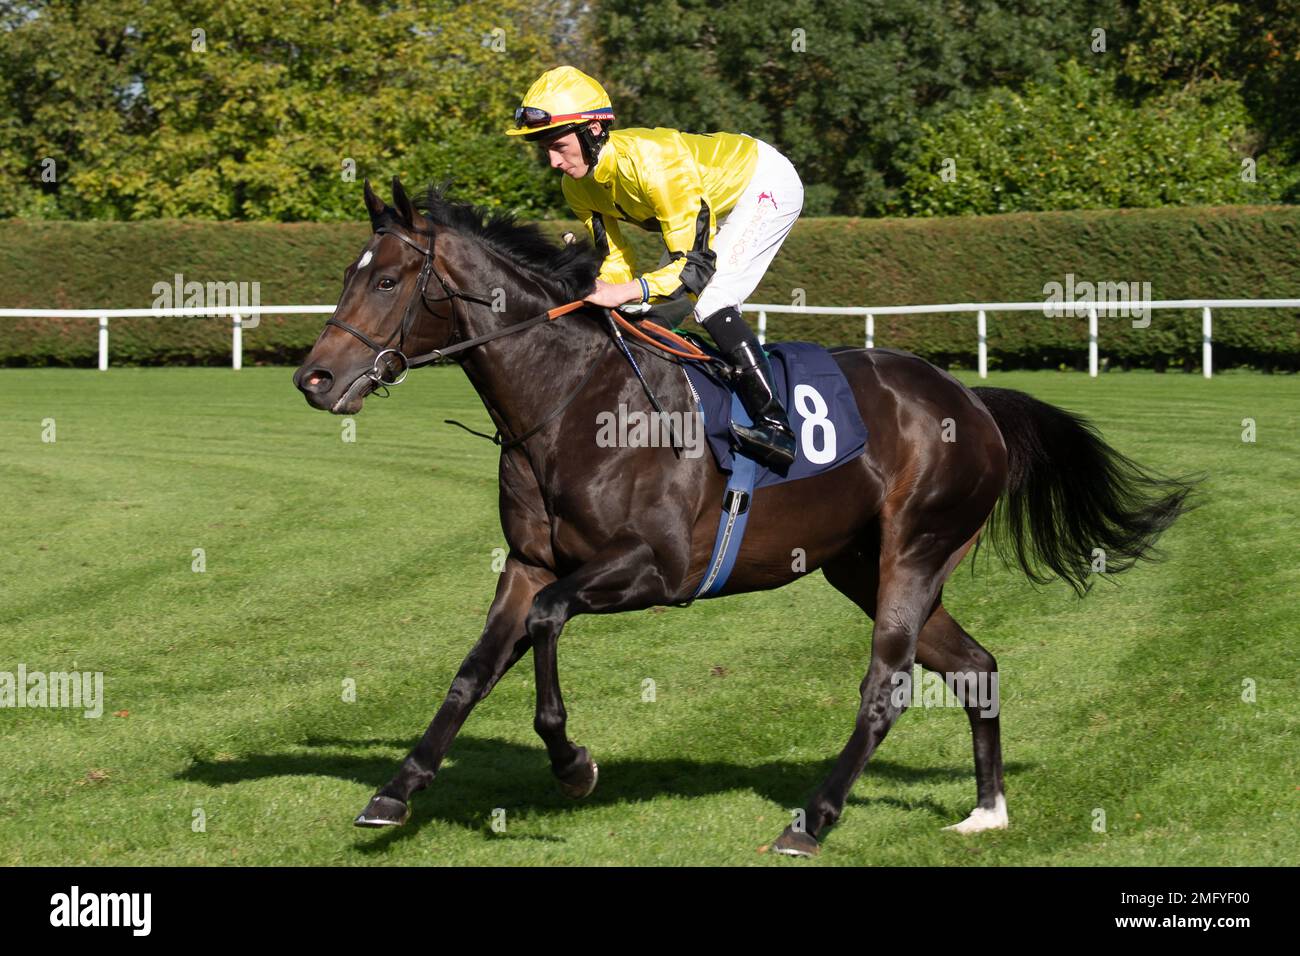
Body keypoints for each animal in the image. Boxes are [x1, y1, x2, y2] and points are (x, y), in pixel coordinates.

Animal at [293, 178, 1196, 856]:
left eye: (385, 281)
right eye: (346, 274)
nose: (314, 379)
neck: (572, 400)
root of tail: (972, 403)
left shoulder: (652, 569)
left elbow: (548, 624)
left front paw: (572, 761)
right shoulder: (529, 563)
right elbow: (474, 669)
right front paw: (395, 789)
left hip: (914, 550)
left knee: (888, 686)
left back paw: (813, 820)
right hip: (859, 564)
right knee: (975, 667)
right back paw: (986, 811)